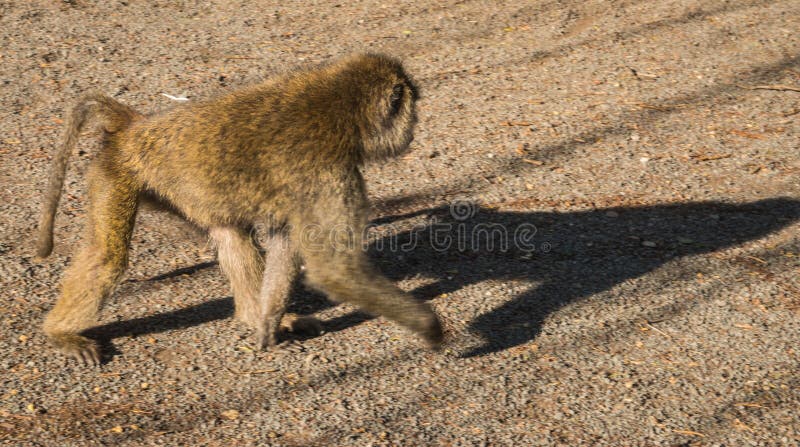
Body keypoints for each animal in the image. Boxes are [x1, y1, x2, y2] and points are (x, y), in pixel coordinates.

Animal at [36, 53, 443, 365]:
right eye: (410, 107)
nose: (414, 128)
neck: (337, 108)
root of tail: (135, 129)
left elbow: (284, 240)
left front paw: (268, 321)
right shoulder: (330, 176)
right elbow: (335, 270)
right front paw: (429, 327)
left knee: (231, 235)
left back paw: (253, 315)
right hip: (116, 174)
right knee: (108, 258)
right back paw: (58, 333)